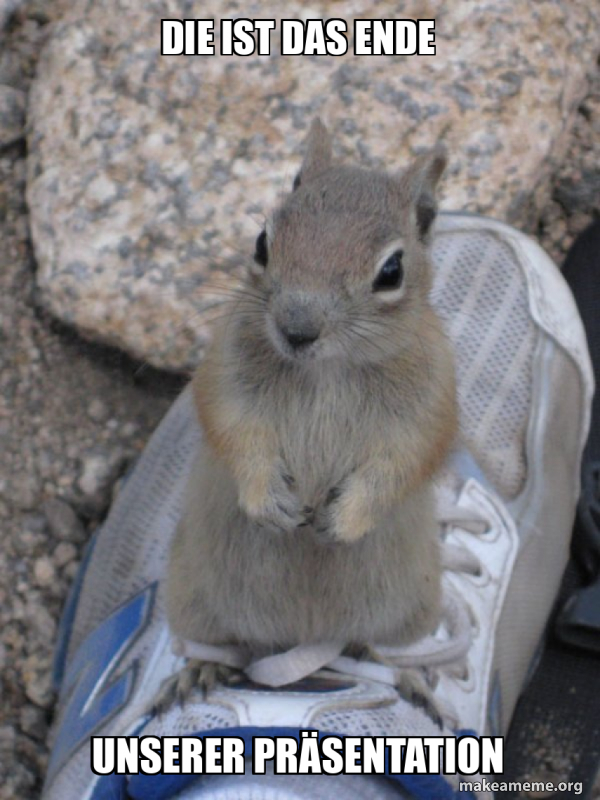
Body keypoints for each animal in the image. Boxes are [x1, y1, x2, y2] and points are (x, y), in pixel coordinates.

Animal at [162, 118, 458, 706]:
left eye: (392, 271)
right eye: (262, 241)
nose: (296, 328)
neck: (327, 369)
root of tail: (306, 633)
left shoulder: (428, 407)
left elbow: (401, 464)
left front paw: (345, 518)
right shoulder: (226, 377)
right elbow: (236, 434)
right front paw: (268, 500)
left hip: (412, 610)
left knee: (368, 645)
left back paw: (405, 677)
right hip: (191, 597)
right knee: (228, 646)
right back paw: (200, 671)